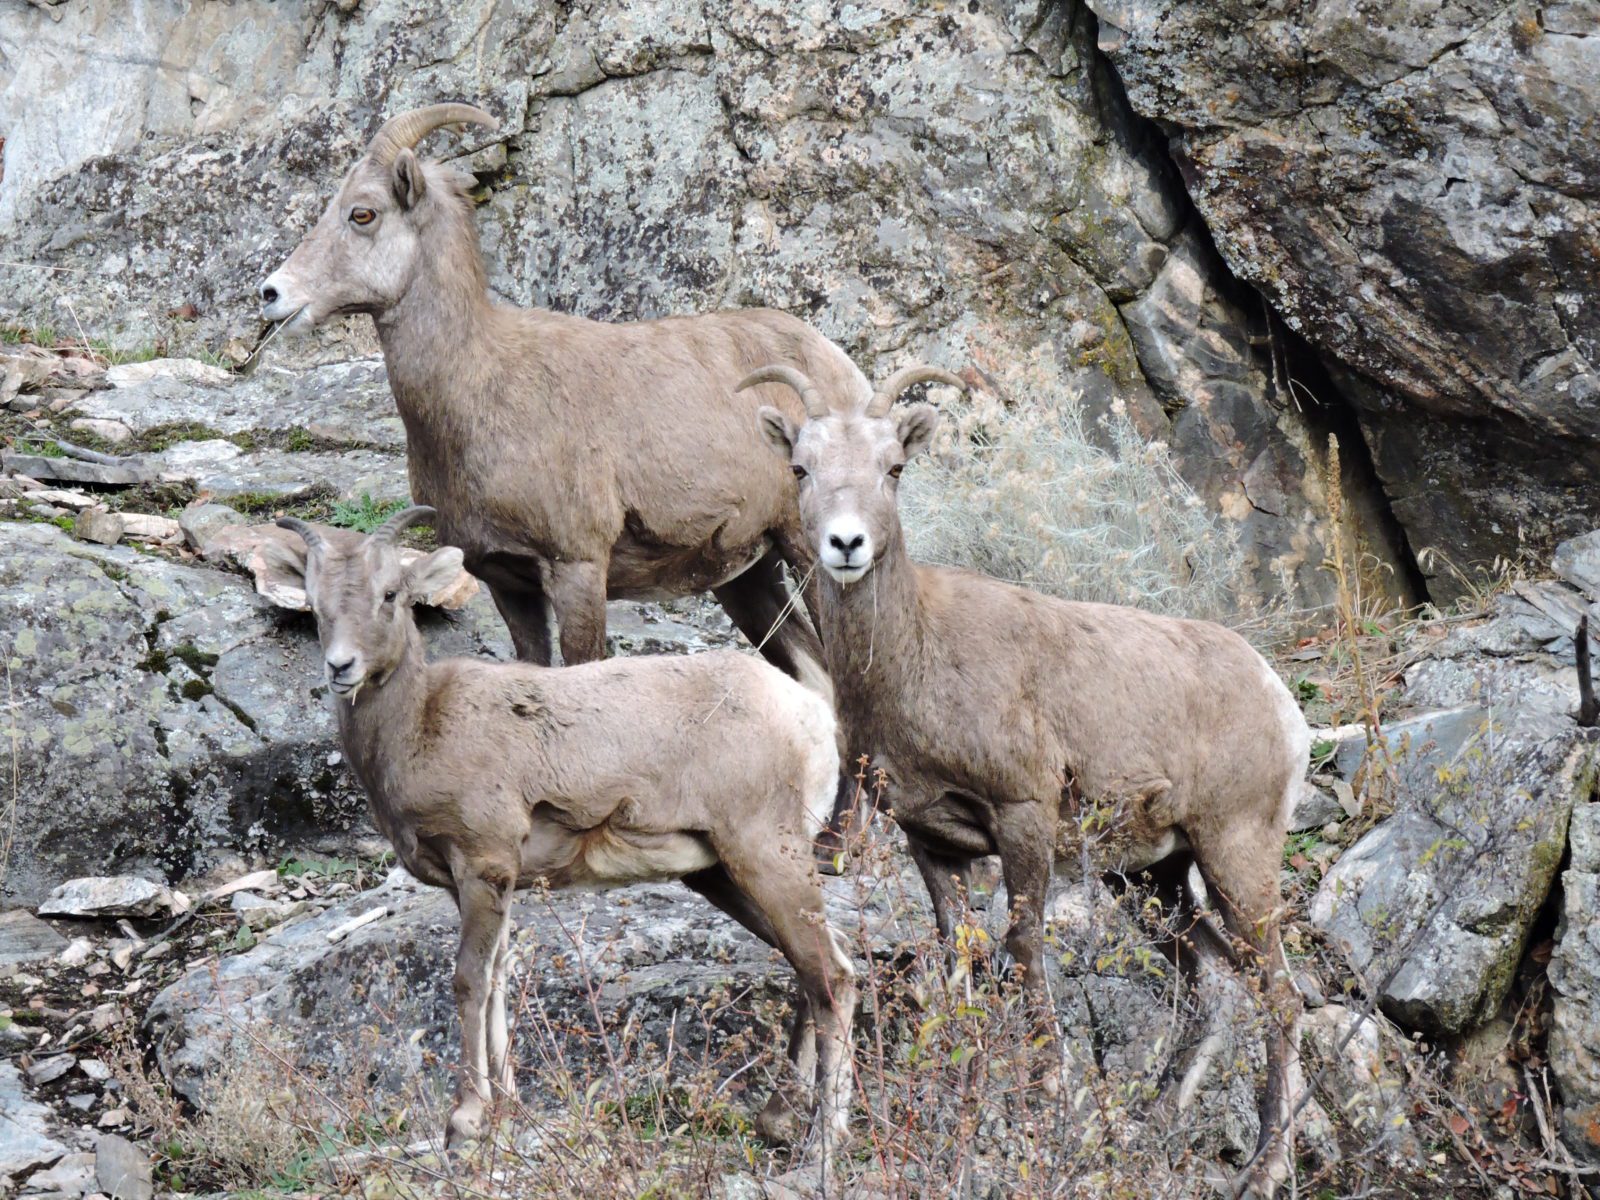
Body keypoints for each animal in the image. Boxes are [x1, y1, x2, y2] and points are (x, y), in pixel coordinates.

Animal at [257, 104, 868, 703]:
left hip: (808, 551)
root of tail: (840, 367)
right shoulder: (508, 583)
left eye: (363, 213)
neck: (477, 389)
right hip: (748, 576)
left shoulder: (577, 569)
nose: (272, 294)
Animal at [268, 505, 857, 1160]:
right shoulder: (482, 885)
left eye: (390, 594)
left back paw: (822, 1143)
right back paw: (780, 1119)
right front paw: (506, 1114)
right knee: (825, 967)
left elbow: (469, 982)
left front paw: (465, 1121)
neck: (421, 725)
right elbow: (499, 983)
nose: (341, 667)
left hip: (765, 855)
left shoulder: (484, 867)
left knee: (831, 977)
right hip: (721, 874)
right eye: (315, 603)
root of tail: (809, 716)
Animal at [743, 362, 1310, 1198]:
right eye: (801, 469)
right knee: (1213, 980)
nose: (846, 544)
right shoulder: (935, 845)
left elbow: (1025, 952)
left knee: (1280, 995)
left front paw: (1051, 1101)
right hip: (1151, 879)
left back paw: (1265, 1168)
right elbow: (964, 970)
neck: (916, 662)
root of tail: (1277, 698)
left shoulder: (1023, 821)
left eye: (894, 468)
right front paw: (968, 1120)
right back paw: (1147, 1125)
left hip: (1236, 857)